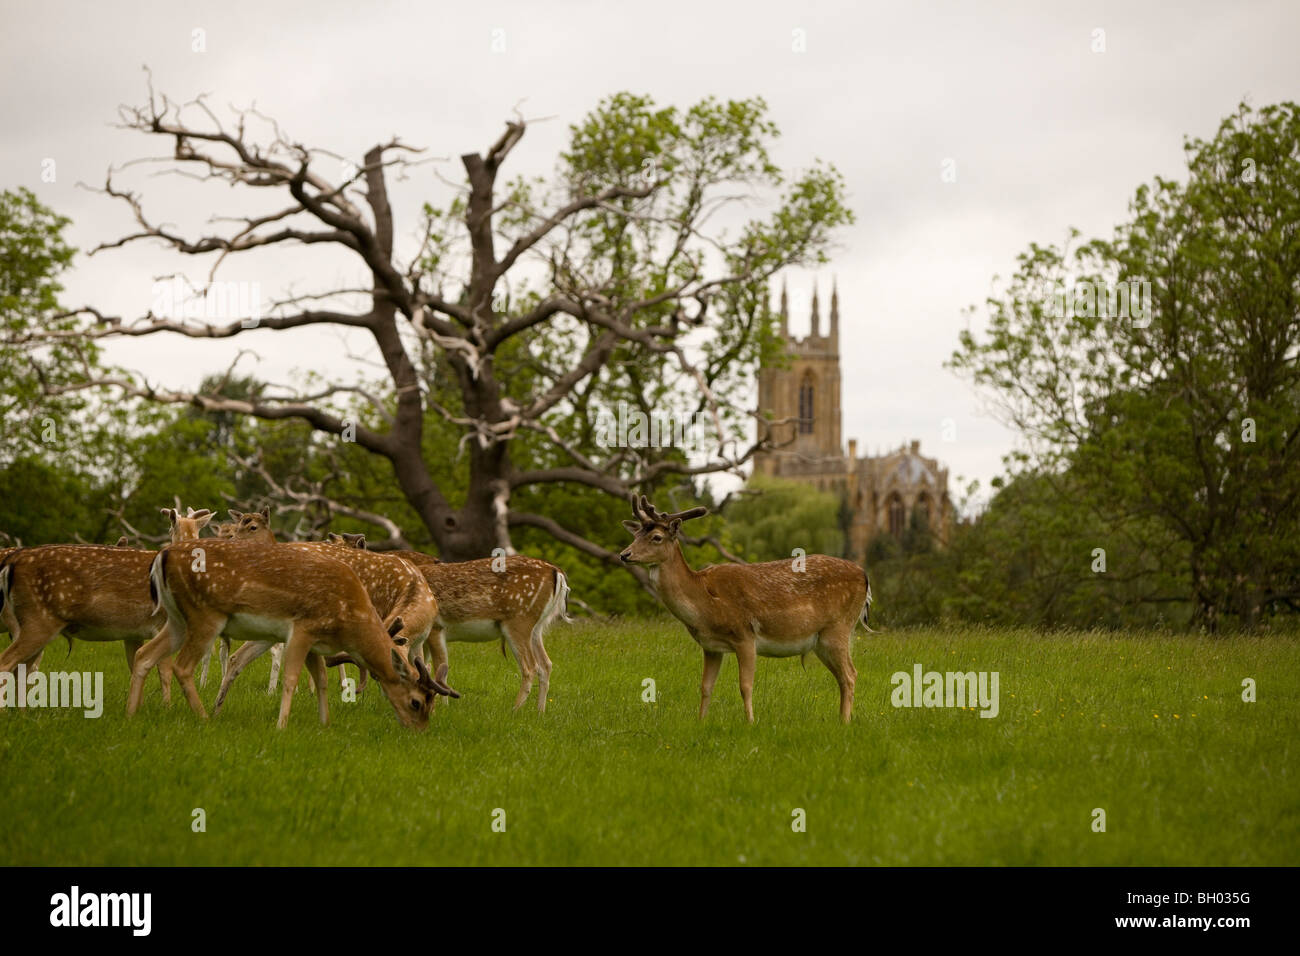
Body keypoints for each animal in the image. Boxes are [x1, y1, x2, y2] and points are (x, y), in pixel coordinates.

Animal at [0, 508, 214, 702]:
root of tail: (11, 563)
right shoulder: (161, 623)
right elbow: (164, 670)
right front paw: (165, 706)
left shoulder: (134, 633)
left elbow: (136, 664)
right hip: (33, 620)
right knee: (10, 664)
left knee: (22, 669)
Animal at [127, 537, 456, 728]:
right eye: (416, 702)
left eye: (428, 703)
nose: (420, 730)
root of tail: (162, 555)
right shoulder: (304, 629)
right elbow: (293, 676)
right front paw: (282, 725)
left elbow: (321, 678)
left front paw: (324, 724)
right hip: (207, 616)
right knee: (185, 666)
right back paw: (205, 718)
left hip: (177, 620)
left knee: (147, 654)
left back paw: (135, 713)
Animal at [619, 496, 871, 723]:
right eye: (635, 535)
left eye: (657, 537)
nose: (624, 554)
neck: (705, 604)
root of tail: (864, 575)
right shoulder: (711, 647)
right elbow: (705, 686)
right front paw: (700, 722)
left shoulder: (745, 635)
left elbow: (745, 685)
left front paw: (750, 722)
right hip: (821, 641)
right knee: (844, 676)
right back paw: (842, 719)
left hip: (838, 627)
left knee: (850, 674)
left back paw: (844, 722)